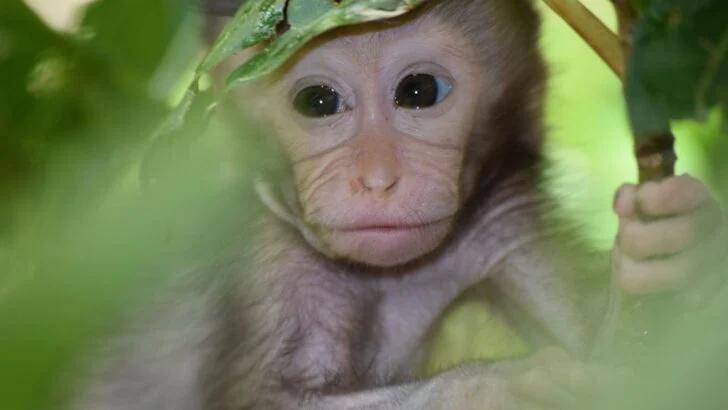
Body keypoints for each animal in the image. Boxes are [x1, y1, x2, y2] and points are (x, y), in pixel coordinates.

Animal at [68, 0, 725, 409]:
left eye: (418, 91)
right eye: (317, 101)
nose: (376, 180)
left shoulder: (503, 217)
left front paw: (678, 251)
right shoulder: (274, 259)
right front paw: (495, 390)